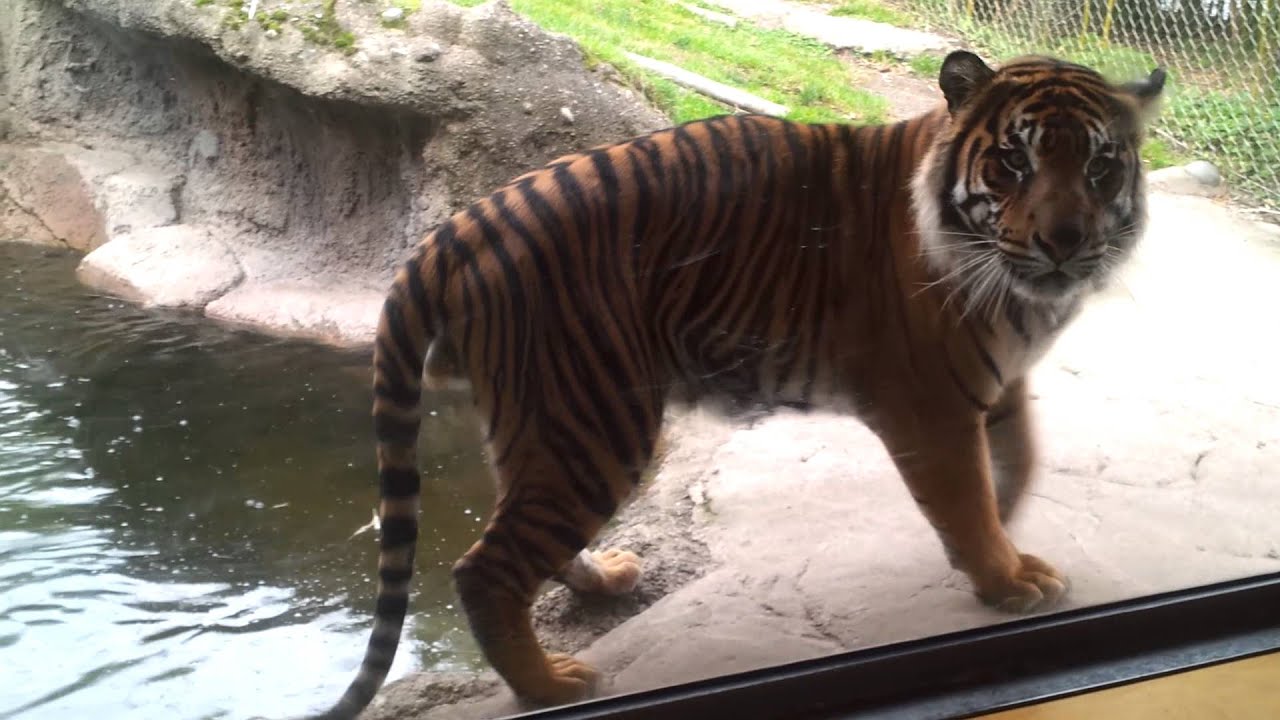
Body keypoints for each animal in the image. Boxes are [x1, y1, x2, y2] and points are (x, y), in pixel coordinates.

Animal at [308, 50, 1166, 719]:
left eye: (1101, 167)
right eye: (1014, 163)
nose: (1066, 243)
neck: (1017, 292)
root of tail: (460, 226)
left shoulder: (996, 381)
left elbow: (1019, 461)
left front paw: (1010, 544)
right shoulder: (933, 405)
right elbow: (967, 498)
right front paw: (1002, 577)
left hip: (538, 417)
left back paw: (602, 582)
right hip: (594, 417)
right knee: (485, 566)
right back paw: (551, 686)